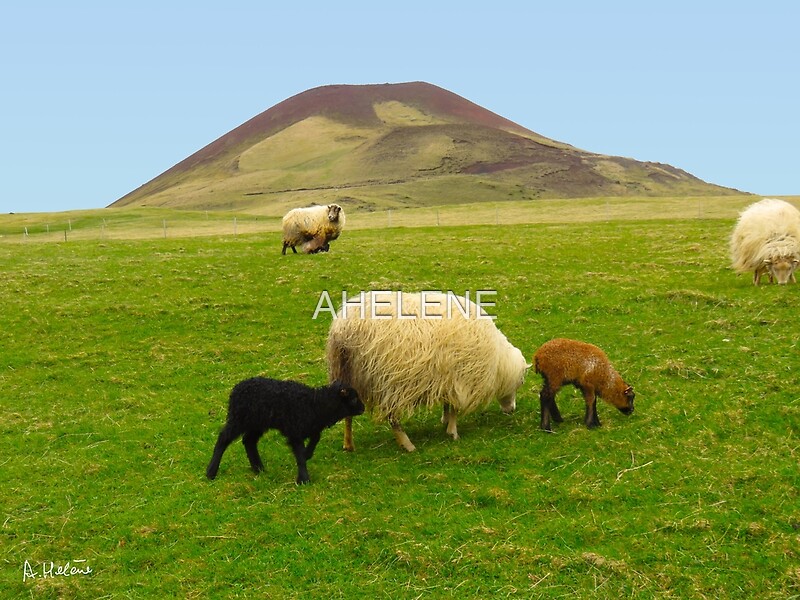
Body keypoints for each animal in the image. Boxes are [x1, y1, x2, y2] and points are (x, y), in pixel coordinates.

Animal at [205, 377, 364, 484]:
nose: (363, 408)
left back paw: (259, 469)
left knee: (249, 441)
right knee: (223, 438)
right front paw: (303, 479)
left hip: (257, 423)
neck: (315, 404)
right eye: (353, 399)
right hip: (239, 418)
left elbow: (315, 438)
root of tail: (236, 389)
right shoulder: (294, 431)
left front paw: (308, 453)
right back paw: (211, 472)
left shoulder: (308, 426)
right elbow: (299, 455)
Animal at [326, 291, 529, 452]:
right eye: (521, 382)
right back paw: (407, 445)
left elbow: (448, 404)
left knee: (348, 413)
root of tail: (344, 330)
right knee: (393, 417)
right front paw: (453, 432)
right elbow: (455, 408)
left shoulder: (447, 377)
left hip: (346, 374)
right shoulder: (461, 378)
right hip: (389, 381)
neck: (499, 361)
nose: (512, 410)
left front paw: (445, 420)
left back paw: (348, 444)